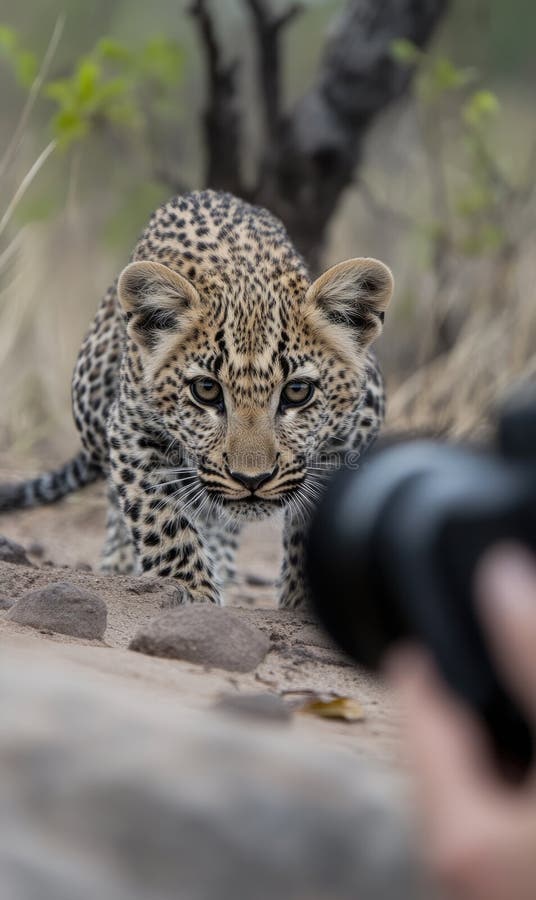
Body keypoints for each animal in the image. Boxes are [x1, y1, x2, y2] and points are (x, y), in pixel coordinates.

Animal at [0, 190, 394, 608]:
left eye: (297, 391)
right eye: (205, 390)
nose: (251, 479)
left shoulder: (355, 432)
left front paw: (303, 599)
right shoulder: (130, 428)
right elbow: (159, 514)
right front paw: (191, 592)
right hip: (90, 401)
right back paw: (119, 563)